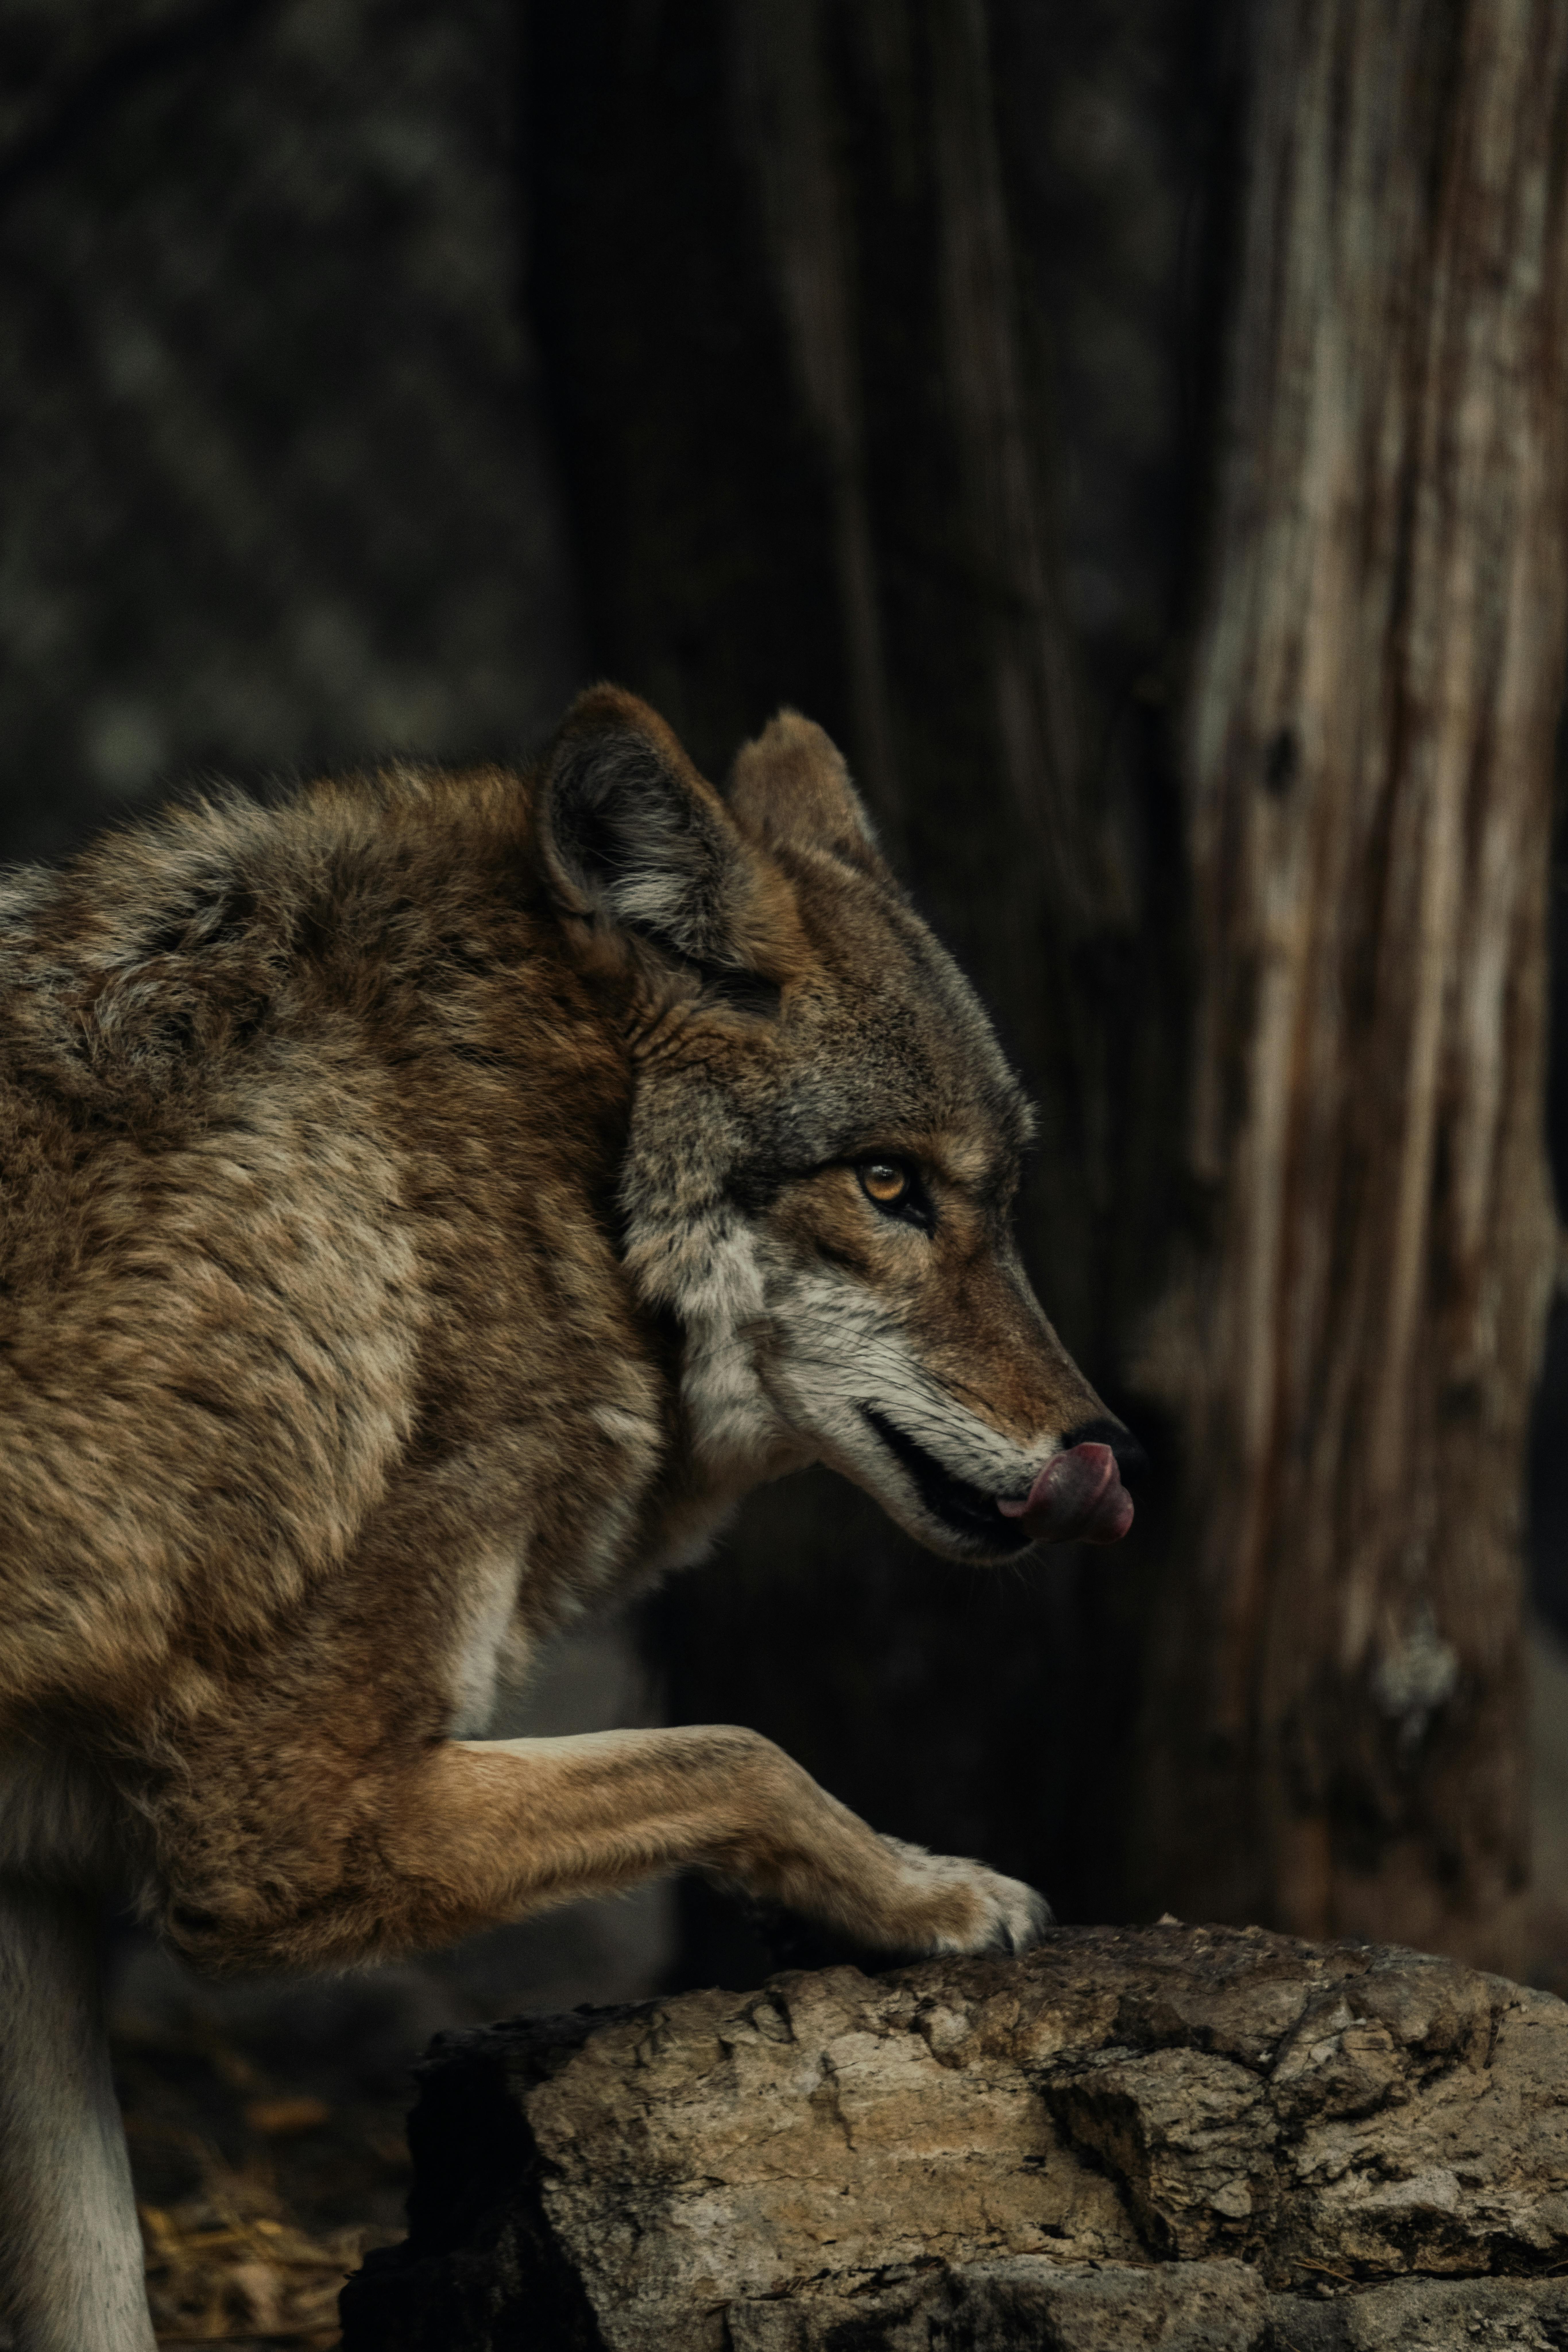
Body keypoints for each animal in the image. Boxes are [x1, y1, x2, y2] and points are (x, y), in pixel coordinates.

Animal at [0, 687, 1136, 2349]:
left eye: (994, 1199)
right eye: (886, 1185)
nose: (1103, 1452)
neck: (525, 1180)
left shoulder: (38, 1874)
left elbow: (92, 2283)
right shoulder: (279, 1833)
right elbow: (743, 1752)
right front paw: (927, 1896)